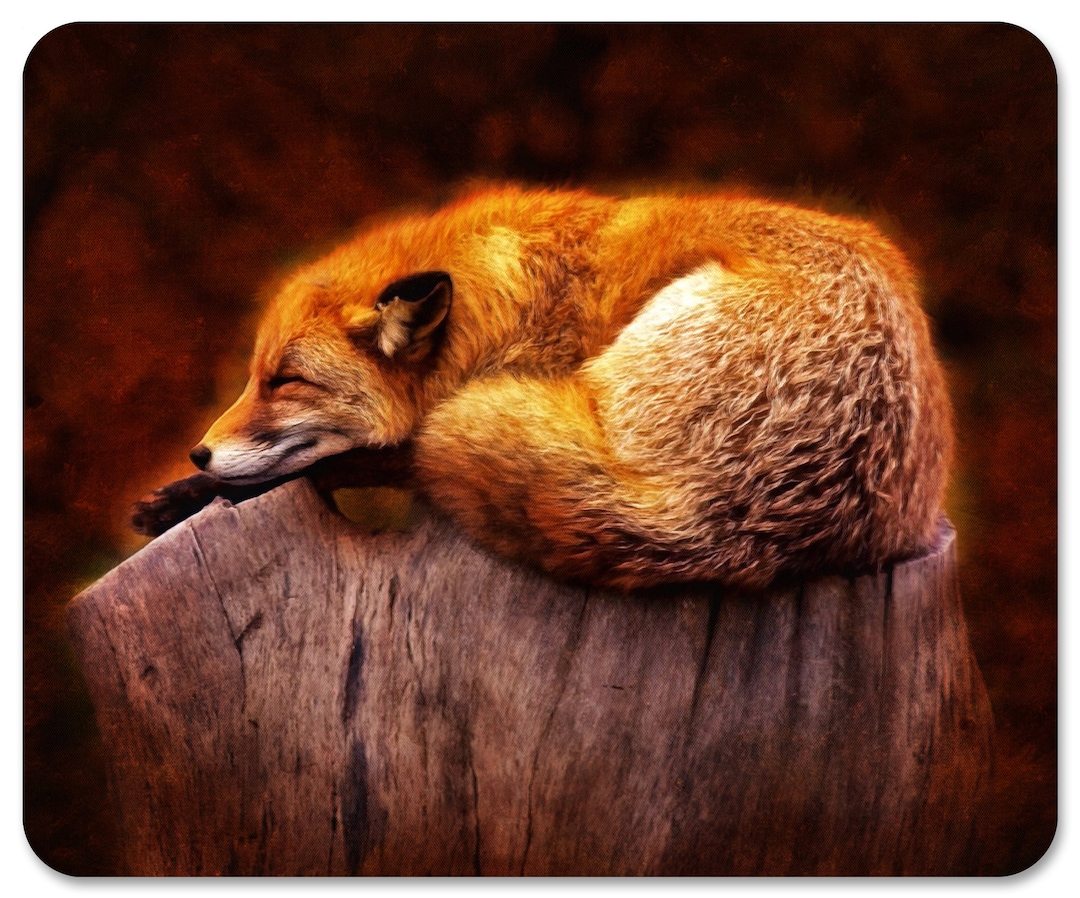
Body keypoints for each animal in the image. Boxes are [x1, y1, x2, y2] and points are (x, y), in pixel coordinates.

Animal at [134, 185, 953, 591]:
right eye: (254, 376)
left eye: (288, 381)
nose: (198, 451)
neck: (509, 307)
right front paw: (183, 491)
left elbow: (351, 460)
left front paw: (192, 493)